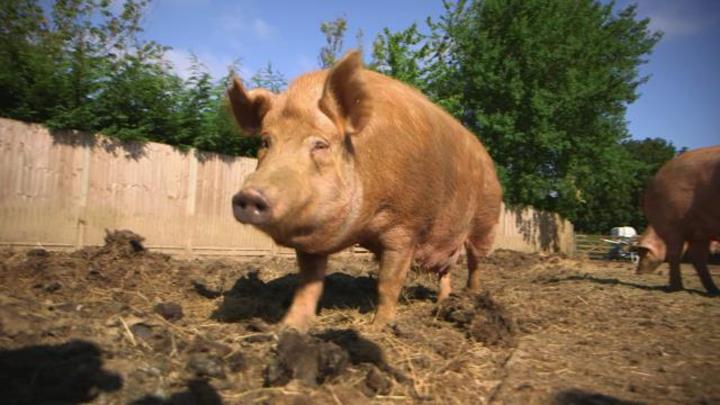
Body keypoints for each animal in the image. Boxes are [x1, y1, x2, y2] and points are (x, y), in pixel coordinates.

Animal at [228, 50, 502, 331]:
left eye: (320, 145)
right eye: (265, 141)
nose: (249, 195)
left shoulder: (405, 228)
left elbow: (388, 283)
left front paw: (378, 328)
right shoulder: (311, 240)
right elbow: (308, 285)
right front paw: (288, 327)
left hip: (486, 222)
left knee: (475, 263)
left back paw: (471, 297)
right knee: (446, 271)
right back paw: (444, 301)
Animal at [635, 145, 720, 294]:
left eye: (643, 253)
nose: (637, 272)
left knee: (686, 256)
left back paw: (677, 289)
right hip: (697, 227)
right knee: (697, 258)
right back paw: (711, 291)